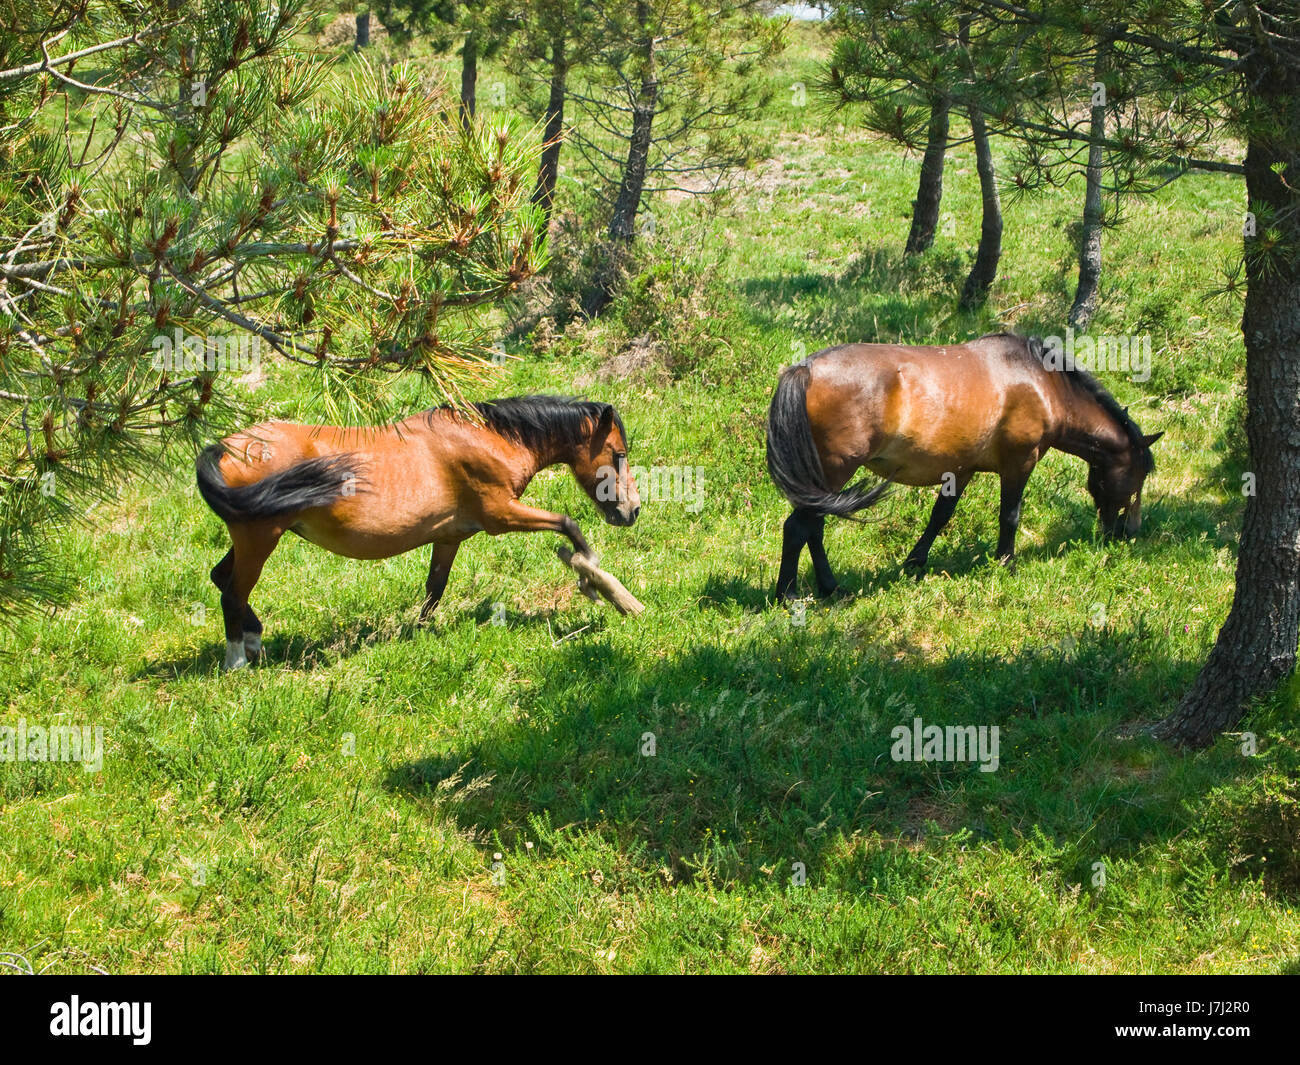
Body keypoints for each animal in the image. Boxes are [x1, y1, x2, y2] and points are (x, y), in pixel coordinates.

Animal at [196, 395, 641, 670]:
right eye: (618, 454)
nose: (633, 510)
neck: (487, 438)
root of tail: (225, 448)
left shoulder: (449, 537)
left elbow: (434, 588)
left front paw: (419, 633)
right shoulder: (502, 515)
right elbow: (569, 525)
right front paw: (596, 580)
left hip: (251, 538)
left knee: (221, 579)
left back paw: (254, 639)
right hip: (260, 538)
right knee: (233, 593)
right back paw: (236, 660)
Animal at [765, 332, 1162, 602]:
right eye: (1139, 476)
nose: (1126, 532)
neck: (1040, 382)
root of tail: (805, 369)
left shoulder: (961, 469)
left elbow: (939, 517)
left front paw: (915, 563)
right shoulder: (1020, 462)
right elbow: (1010, 516)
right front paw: (1006, 562)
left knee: (813, 529)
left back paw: (830, 588)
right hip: (834, 472)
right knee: (799, 528)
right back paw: (788, 594)